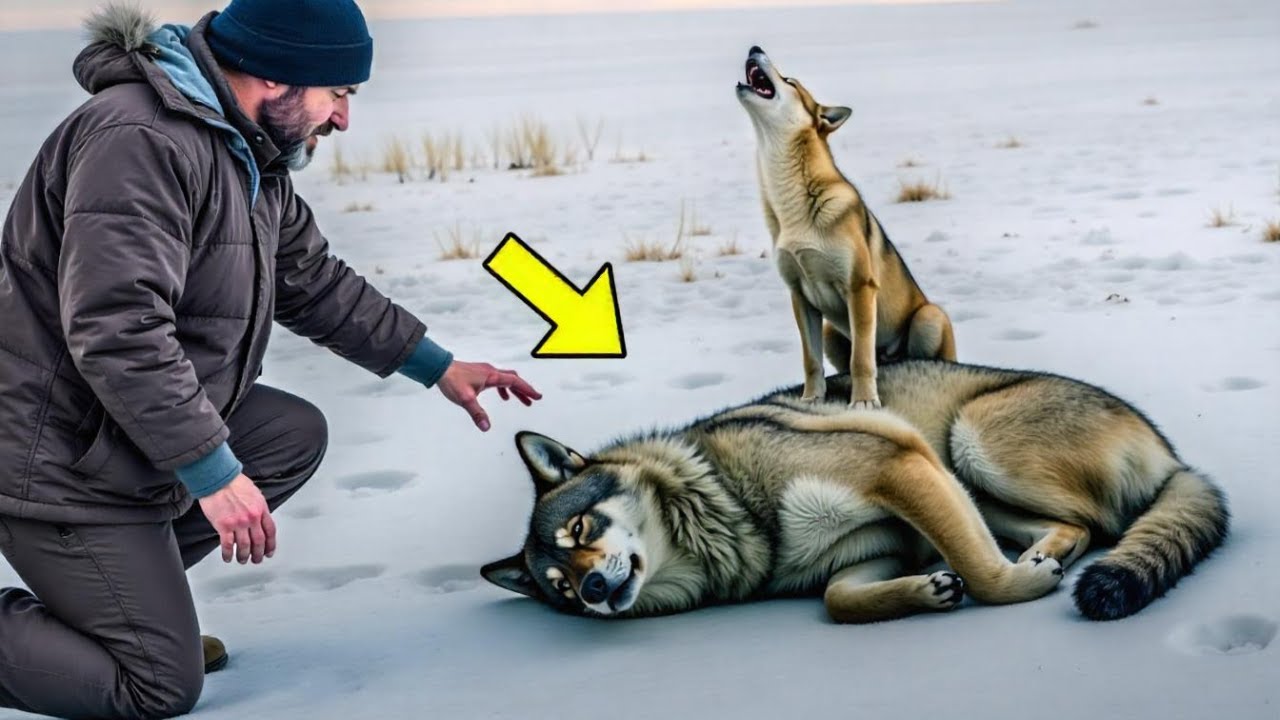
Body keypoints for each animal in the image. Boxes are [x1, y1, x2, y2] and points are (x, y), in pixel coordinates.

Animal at [482, 360, 1228, 624]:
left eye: (580, 531)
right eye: (562, 588)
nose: (594, 591)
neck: (728, 507)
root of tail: (1172, 456)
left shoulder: (896, 466)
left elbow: (984, 577)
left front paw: (1010, 585)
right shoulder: (878, 550)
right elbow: (838, 602)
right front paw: (928, 590)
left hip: (966, 443)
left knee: (1103, 523)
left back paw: (1043, 560)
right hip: (969, 482)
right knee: (1078, 526)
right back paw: (1040, 552)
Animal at [736, 46, 956, 409]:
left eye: (789, 80)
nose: (755, 48)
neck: (793, 207)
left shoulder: (859, 287)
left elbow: (861, 359)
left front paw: (864, 402)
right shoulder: (800, 295)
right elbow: (811, 361)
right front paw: (811, 399)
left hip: (929, 318)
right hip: (831, 333)